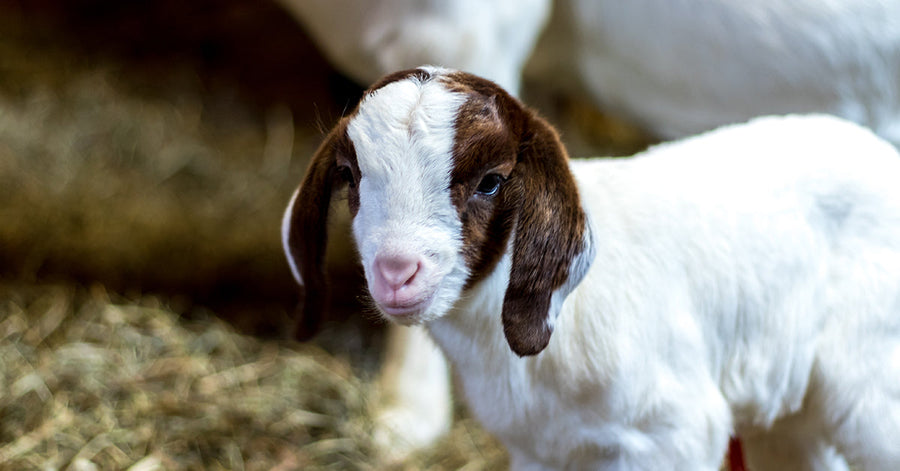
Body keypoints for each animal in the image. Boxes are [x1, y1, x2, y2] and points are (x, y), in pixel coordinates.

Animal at [283, 67, 900, 469]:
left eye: (491, 181)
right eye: (351, 176)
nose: (396, 271)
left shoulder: (674, 432)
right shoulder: (538, 451)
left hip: (874, 385)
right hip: (793, 412)